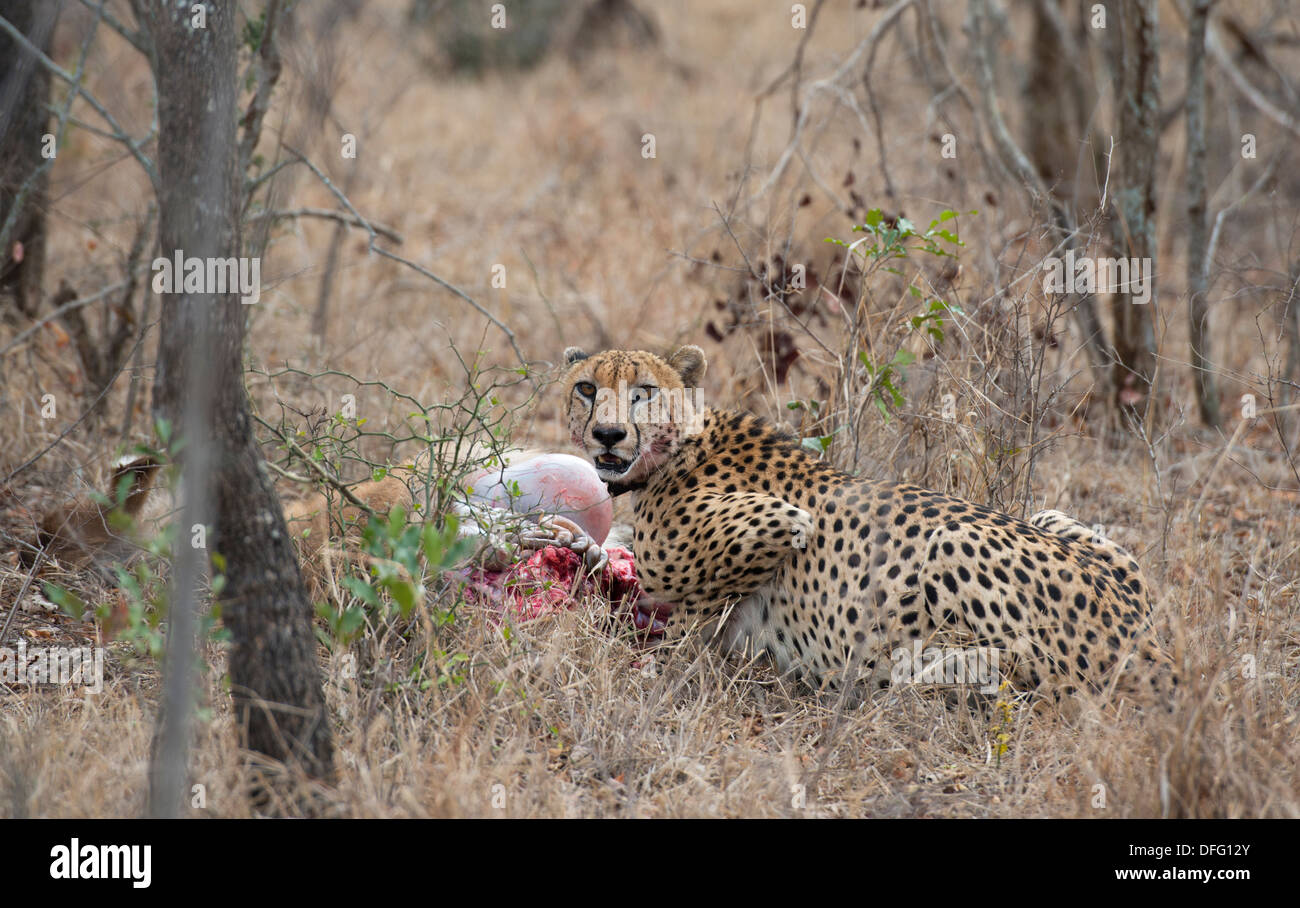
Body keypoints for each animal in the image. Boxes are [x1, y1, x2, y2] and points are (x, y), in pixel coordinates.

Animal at [562, 343, 1175, 700]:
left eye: (644, 393)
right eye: (587, 388)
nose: (609, 435)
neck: (678, 449)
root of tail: (1147, 642)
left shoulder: (785, 522)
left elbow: (688, 621)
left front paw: (668, 661)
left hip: (949, 541)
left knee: (1035, 681)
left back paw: (926, 673)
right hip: (1054, 520)